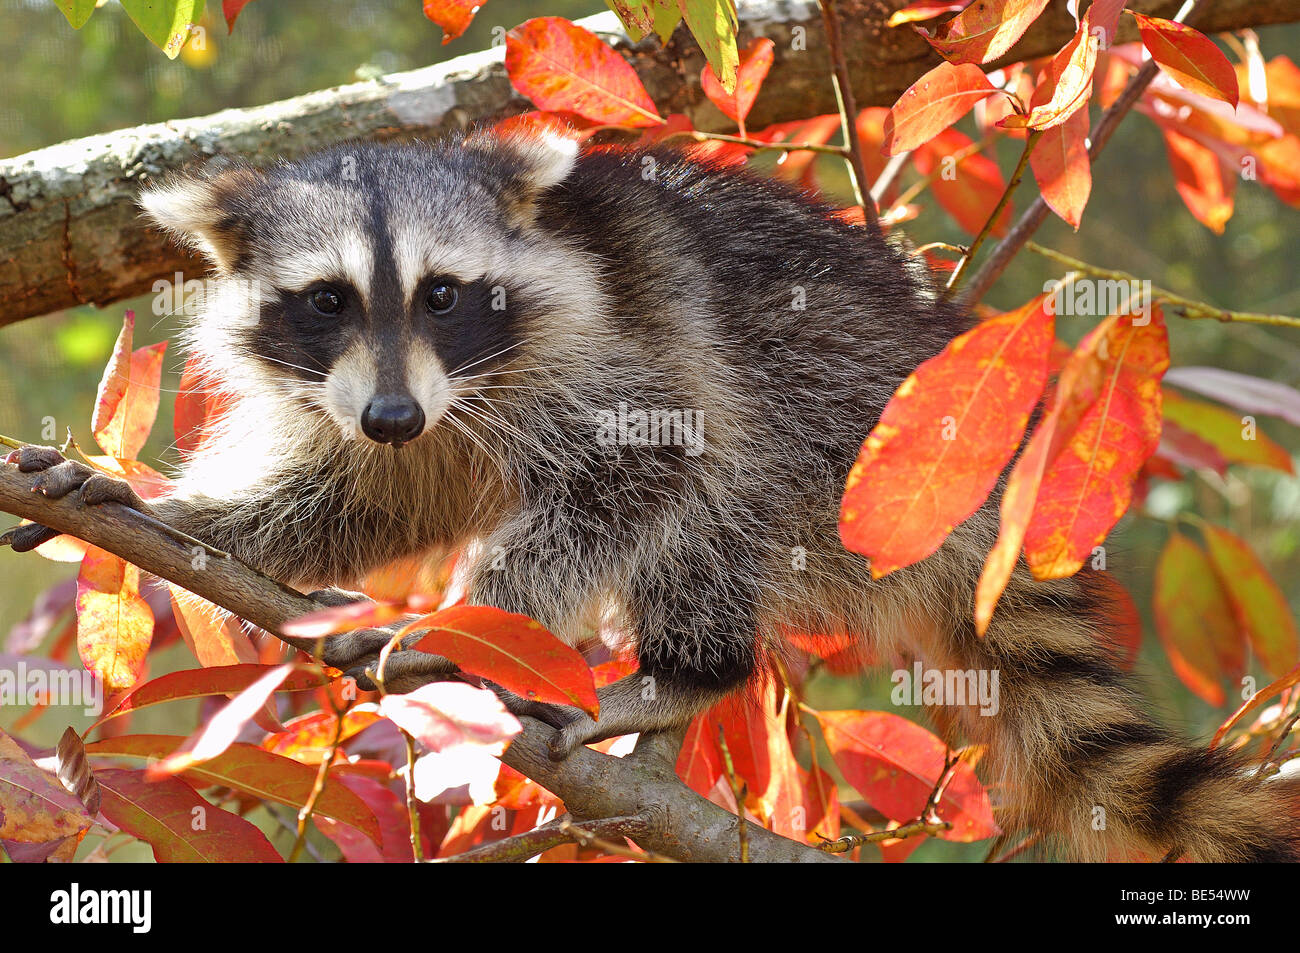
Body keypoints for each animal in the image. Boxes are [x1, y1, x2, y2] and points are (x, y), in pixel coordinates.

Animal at [7, 133, 1299, 861]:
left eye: (442, 293)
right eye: (325, 299)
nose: (393, 414)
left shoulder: (620, 357)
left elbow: (644, 467)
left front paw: (473, 617)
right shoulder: (382, 409)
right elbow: (358, 500)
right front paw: (176, 515)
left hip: (854, 437)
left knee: (724, 481)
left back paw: (686, 671)